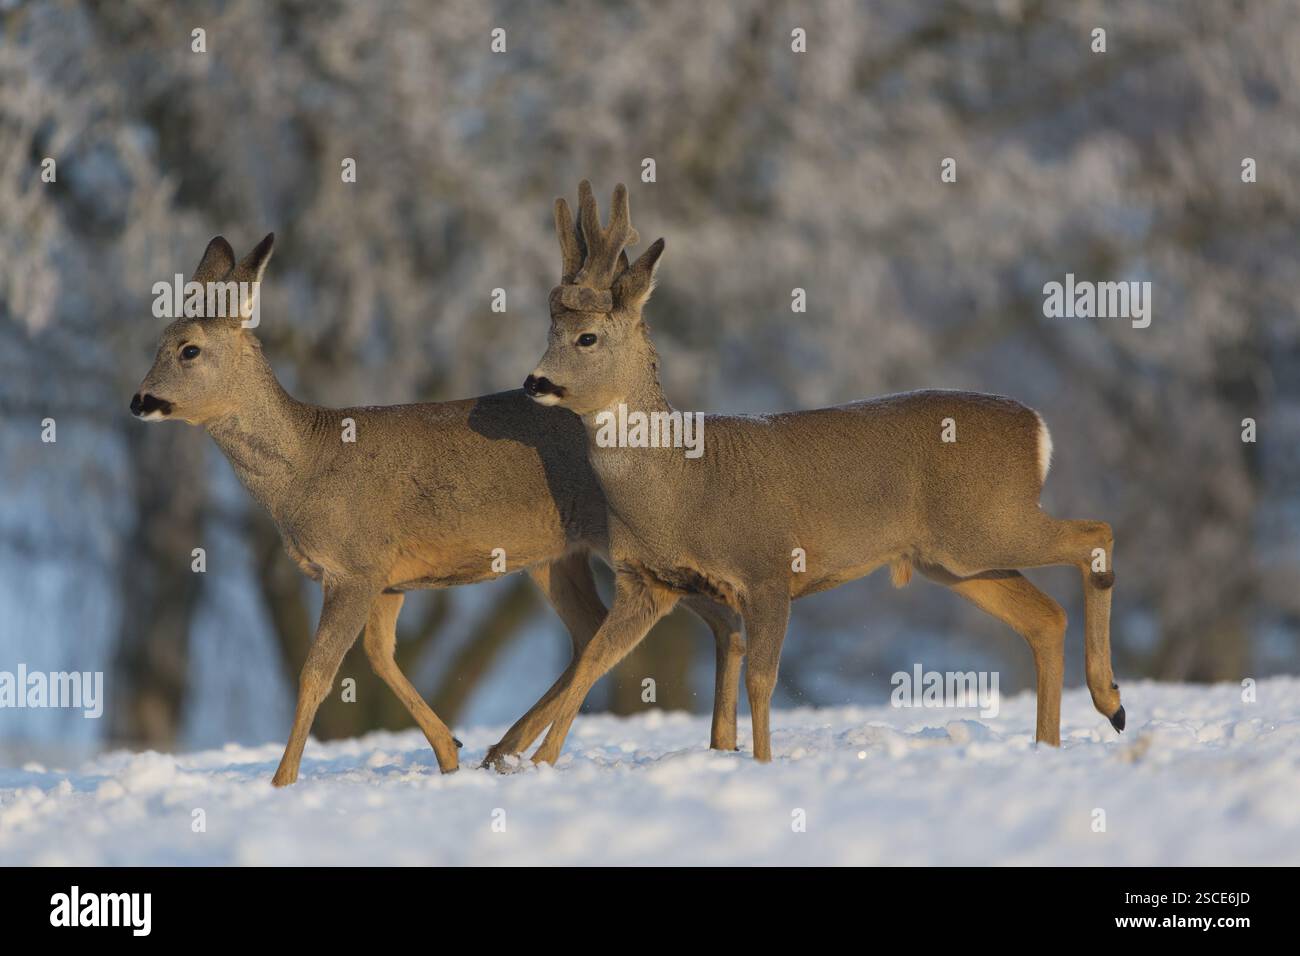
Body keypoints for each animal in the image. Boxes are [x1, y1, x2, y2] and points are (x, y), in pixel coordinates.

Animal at [130, 233, 746, 786]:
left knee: (706, 617)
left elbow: (317, 674)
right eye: (158, 341)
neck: (306, 466)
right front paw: (449, 752)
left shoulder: (355, 566)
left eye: (189, 349)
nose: (139, 400)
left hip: (632, 541)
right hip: (555, 556)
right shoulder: (388, 579)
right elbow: (380, 656)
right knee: (596, 628)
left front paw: (281, 782)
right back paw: (511, 749)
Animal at [484, 181, 1125, 769]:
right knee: (1046, 617)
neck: (682, 486)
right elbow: (592, 662)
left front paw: (763, 764)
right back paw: (1058, 740)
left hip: (985, 524)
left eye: (587, 337)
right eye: (548, 333)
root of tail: (1037, 428)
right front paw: (541, 764)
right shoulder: (648, 581)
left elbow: (760, 681)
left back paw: (1110, 700)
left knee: (1097, 533)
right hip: (952, 558)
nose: (534, 382)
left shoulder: (768, 568)